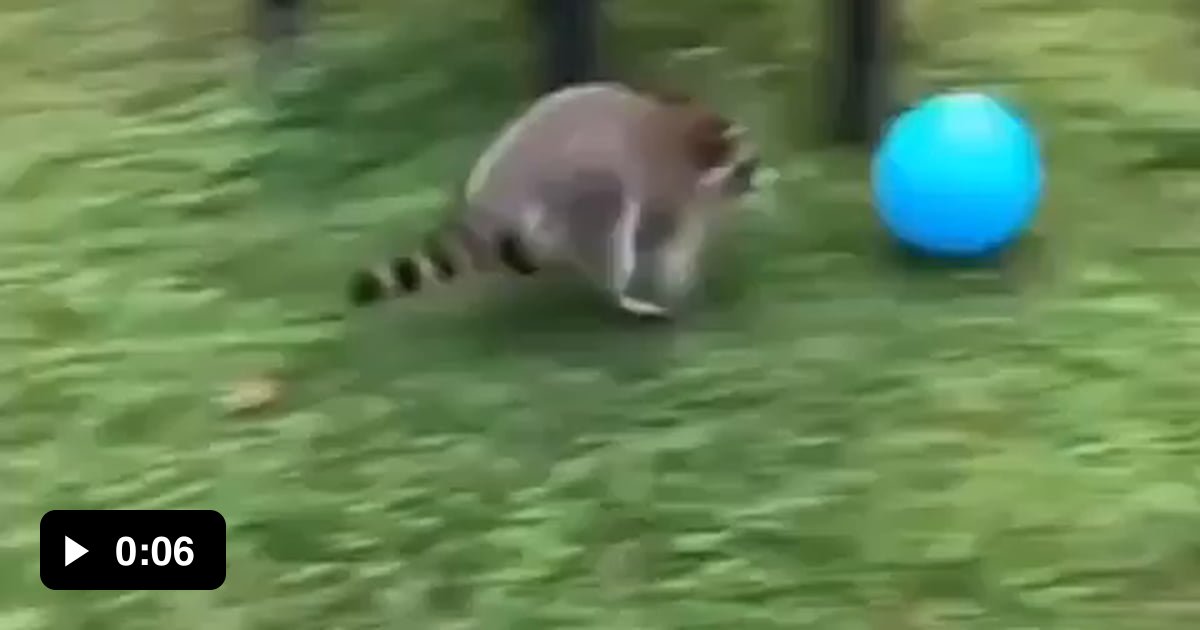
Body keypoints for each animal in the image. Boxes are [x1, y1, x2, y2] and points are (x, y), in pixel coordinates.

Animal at [347, 82, 759, 318]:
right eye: (748, 166)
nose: (757, 184)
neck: (682, 134)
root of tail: (486, 199)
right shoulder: (665, 181)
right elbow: (666, 231)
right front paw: (679, 275)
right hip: (573, 186)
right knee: (607, 209)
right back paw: (619, 294)